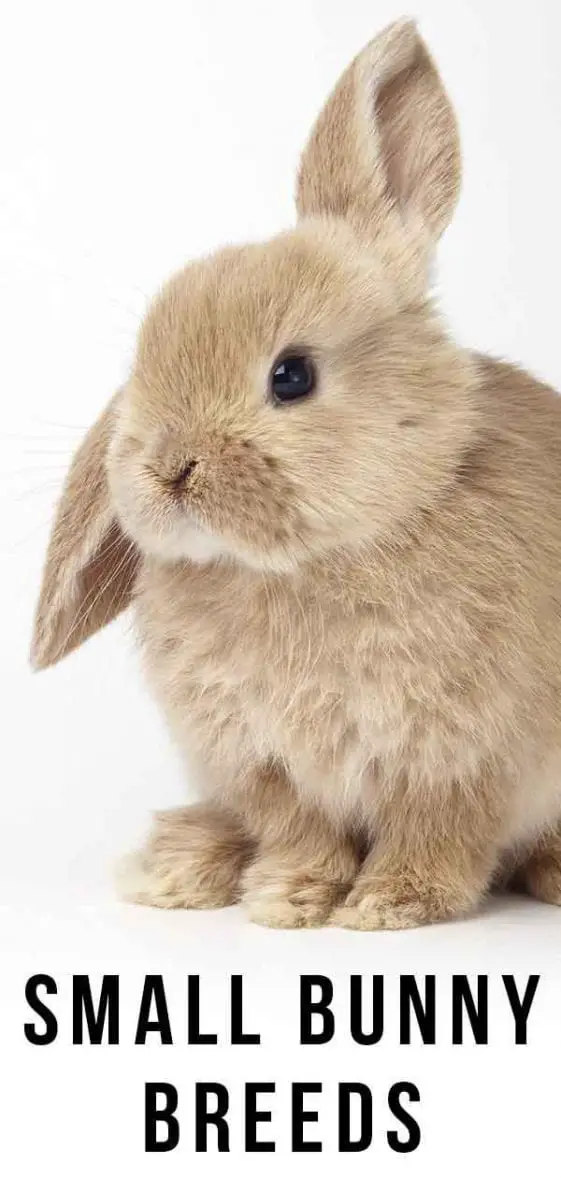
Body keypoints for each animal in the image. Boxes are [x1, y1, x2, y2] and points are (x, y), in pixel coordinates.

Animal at [31, 18, 561, 930]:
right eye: (144, 364)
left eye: (292, 376)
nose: (167, 468)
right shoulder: (263, 763)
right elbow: (298, 831)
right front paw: (287, 897)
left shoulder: (461, 757)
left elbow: (439, 833)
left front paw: (387, 904)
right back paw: (179, 867)